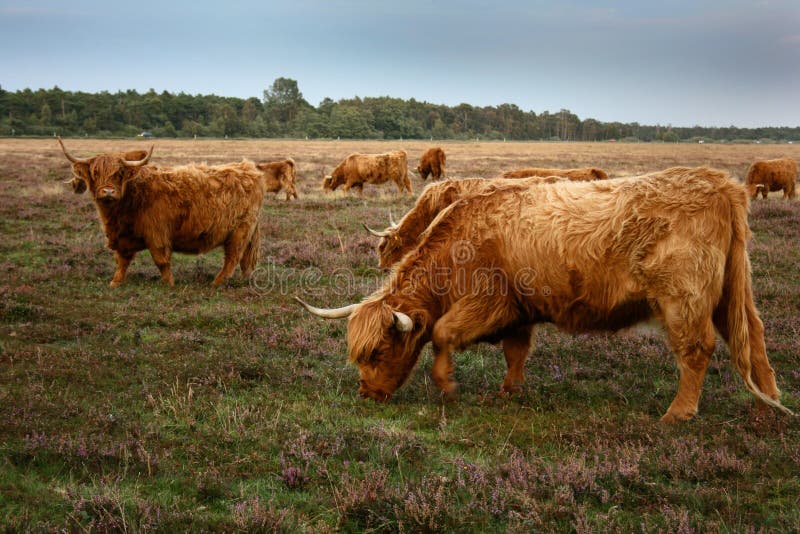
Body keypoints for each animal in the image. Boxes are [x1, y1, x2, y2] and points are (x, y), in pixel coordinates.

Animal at [59, 138, 269, 287]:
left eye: (119, 174)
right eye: (95, 173)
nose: (108, 192)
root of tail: (250, 169)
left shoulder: (157, 232)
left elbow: (161, 260)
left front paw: (169, 283)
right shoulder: (123, 236)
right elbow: (122, 260)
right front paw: (115, 282)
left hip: (240, 231)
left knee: (233, 258)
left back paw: (216, 283)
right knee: (245, 260)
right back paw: (244, 280)